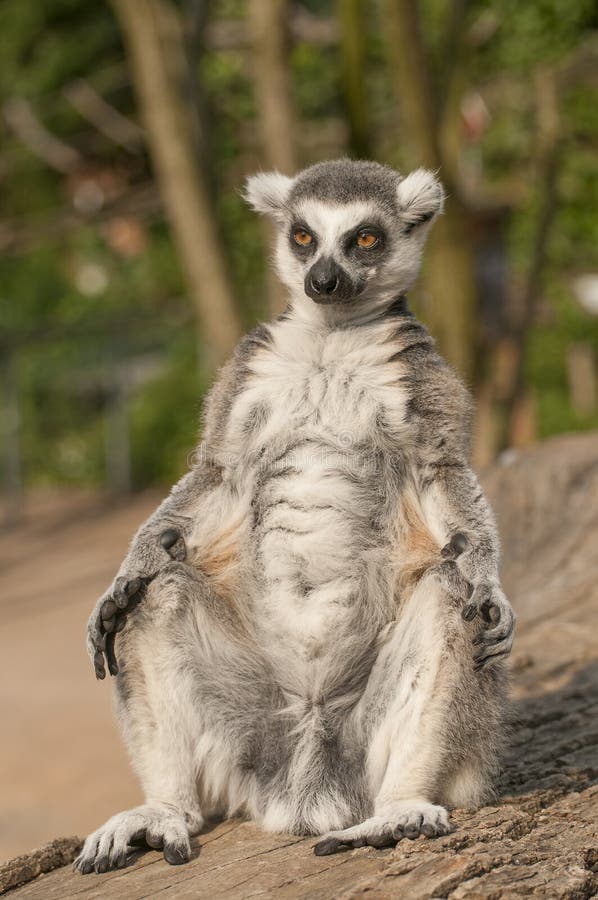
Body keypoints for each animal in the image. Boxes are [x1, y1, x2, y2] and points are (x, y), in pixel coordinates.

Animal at [75, 159, 515, 874]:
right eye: (304, 236)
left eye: (364, 239)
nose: (323, 280)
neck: (331, 341)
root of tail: (308, 745)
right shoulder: (247, 372)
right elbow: (216, 472)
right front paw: (127, 568)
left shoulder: (422, 380)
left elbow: (444, 476)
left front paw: (489, 579)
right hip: (245, 735)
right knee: (153, 598)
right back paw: (164, 809)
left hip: (386, 744)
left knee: (455, 599)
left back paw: (399, 809)